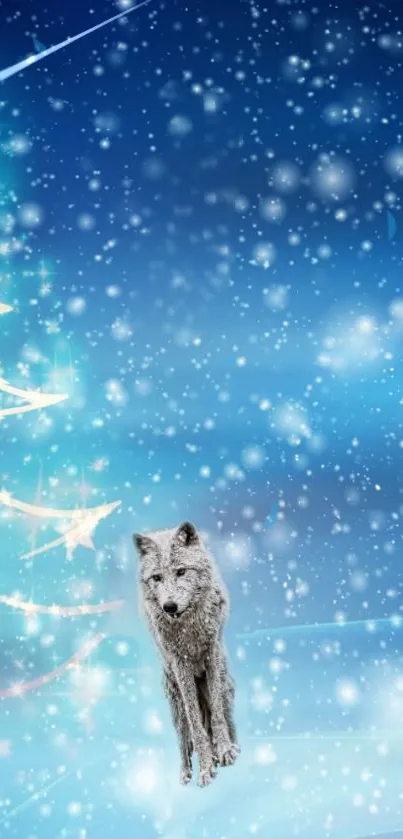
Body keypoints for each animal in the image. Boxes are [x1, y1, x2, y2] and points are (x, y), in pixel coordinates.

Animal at [133, 521, 240, 787]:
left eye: (181, 571)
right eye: (157, 578)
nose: (169, 606)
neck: (189, 626)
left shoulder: (211, 653)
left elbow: (217, 716)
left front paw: (224, 751)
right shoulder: (180, 667)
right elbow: (196, 726)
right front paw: (206, 767)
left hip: (226, 689)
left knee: (225, 716)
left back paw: (233, 746)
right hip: (176, 706)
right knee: (184, 739)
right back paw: (185, 773)